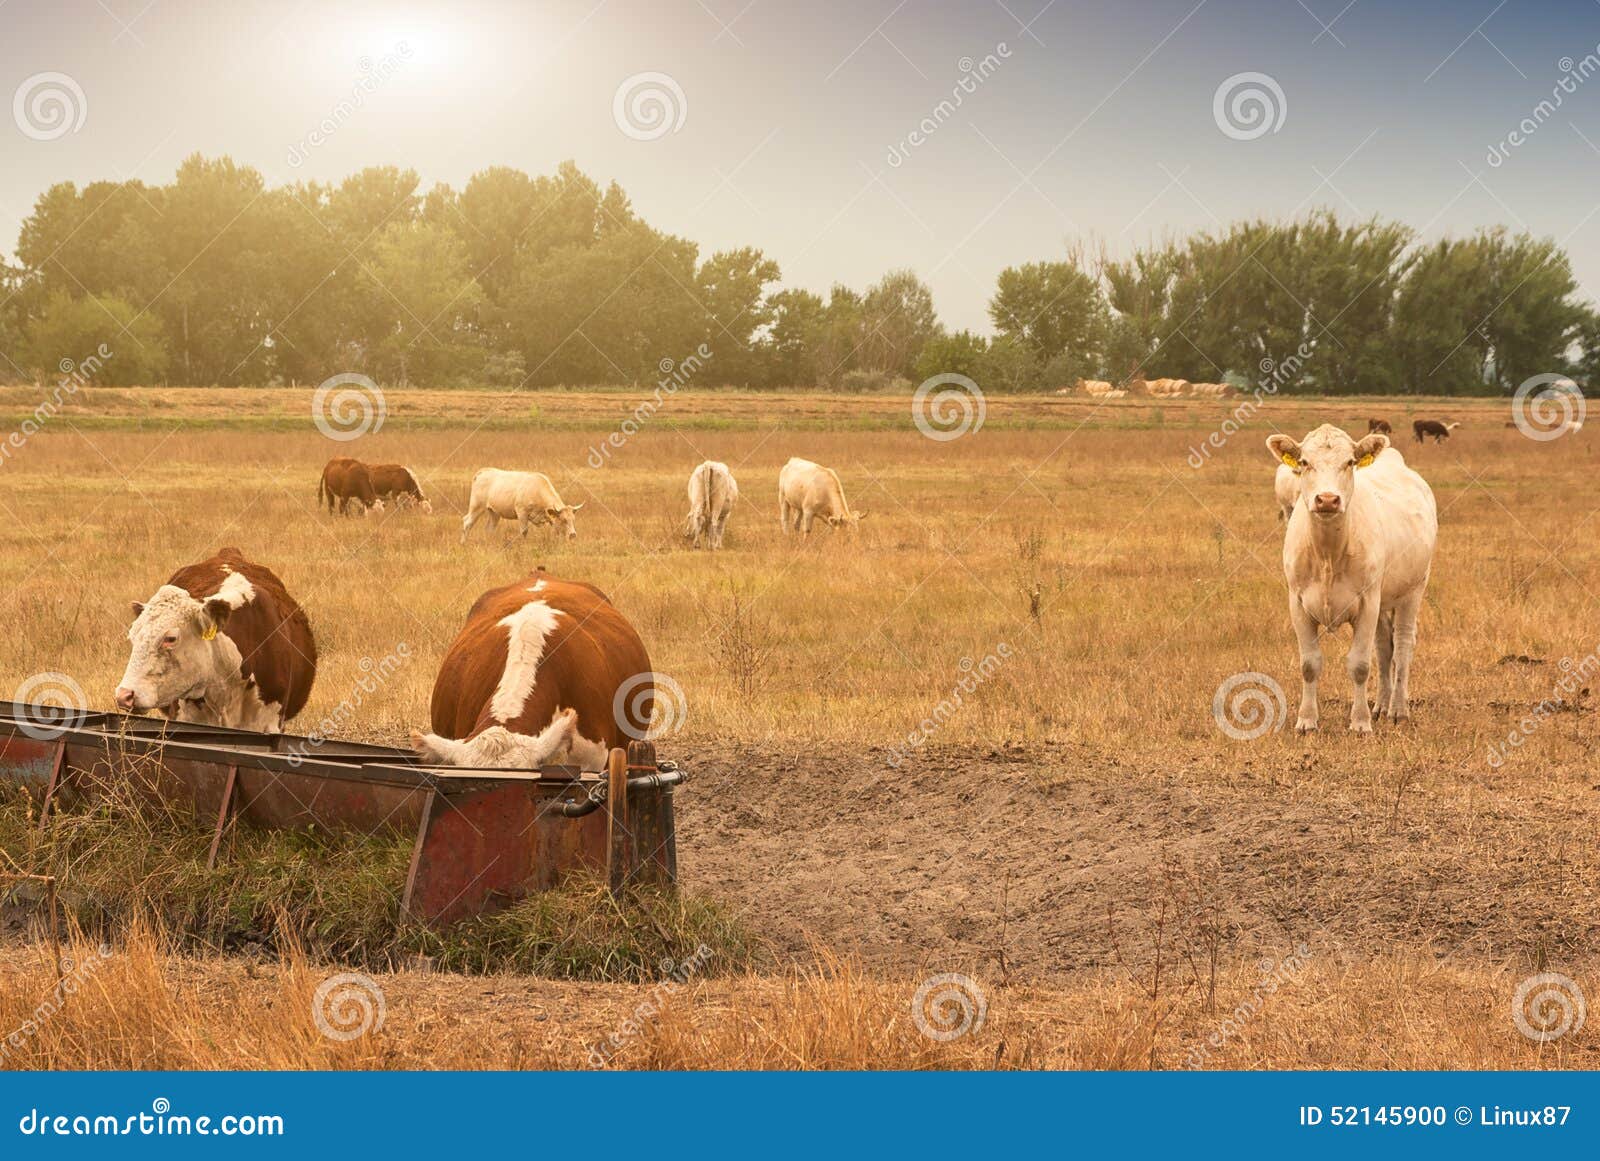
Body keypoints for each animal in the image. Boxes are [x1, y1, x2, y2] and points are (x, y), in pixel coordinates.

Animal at [1267, 425, 1438, 734]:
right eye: (1304, 462)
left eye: (1349, 462)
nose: (1327, 499)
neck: (1328, 554)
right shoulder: (1297, 603)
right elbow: (1309, 664)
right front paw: (1307, 720)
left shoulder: (1368, 603)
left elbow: (1360, 665)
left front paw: (1360, 722)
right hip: (1384, 601)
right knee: (1384, 648)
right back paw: (1381, 706)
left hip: (1414, 590)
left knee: (1402, 647)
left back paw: (1398, 709)